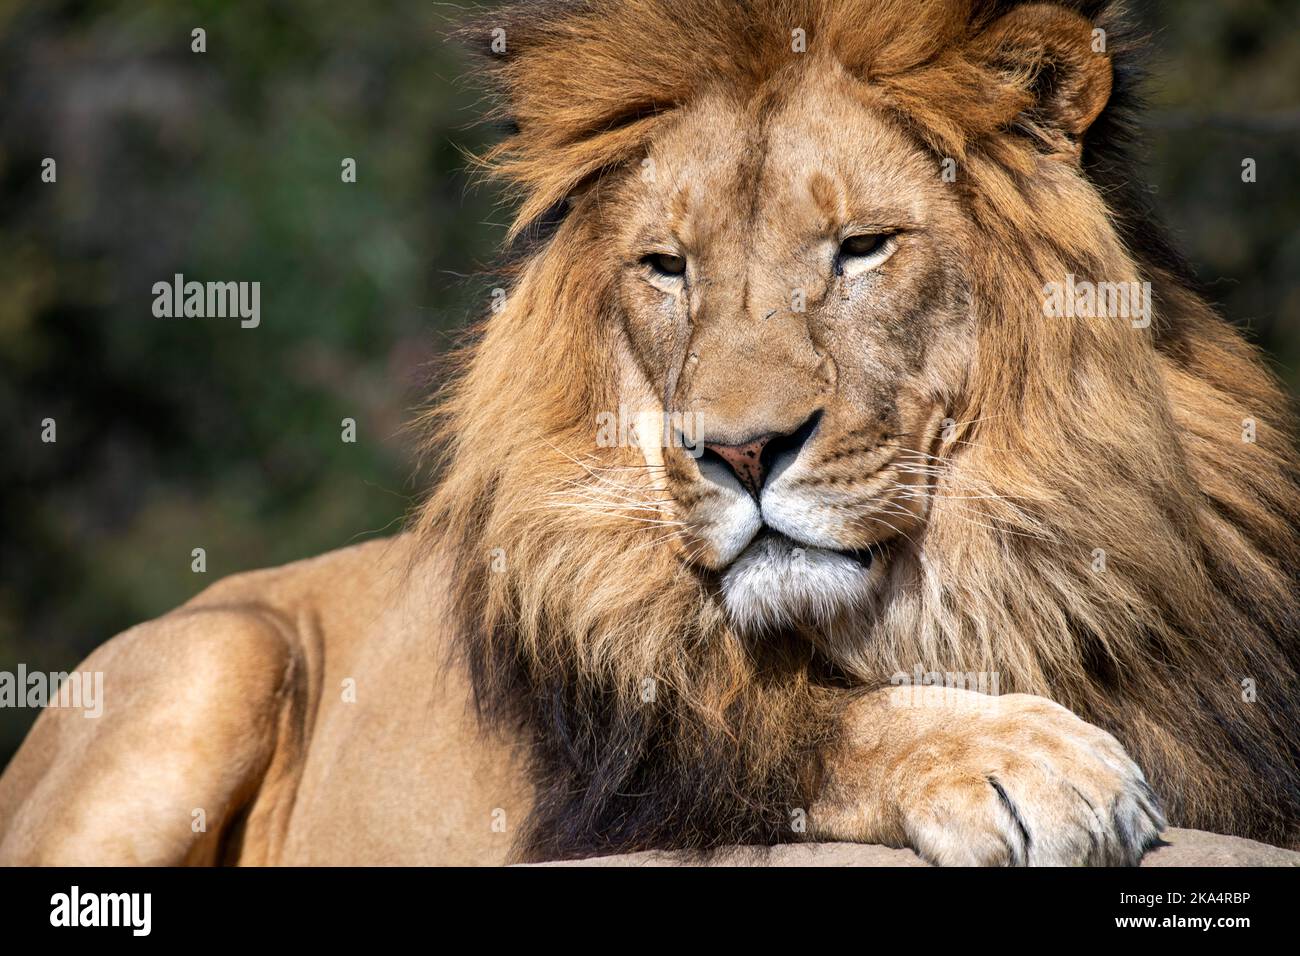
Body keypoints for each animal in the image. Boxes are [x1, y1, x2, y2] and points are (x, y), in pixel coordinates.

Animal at [3, 0, 1299, 867]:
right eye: (667, 267)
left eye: (862, 248)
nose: (738, 451)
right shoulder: (637, 775)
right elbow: (810, 726)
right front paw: (1020, 760)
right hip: (219, 657)